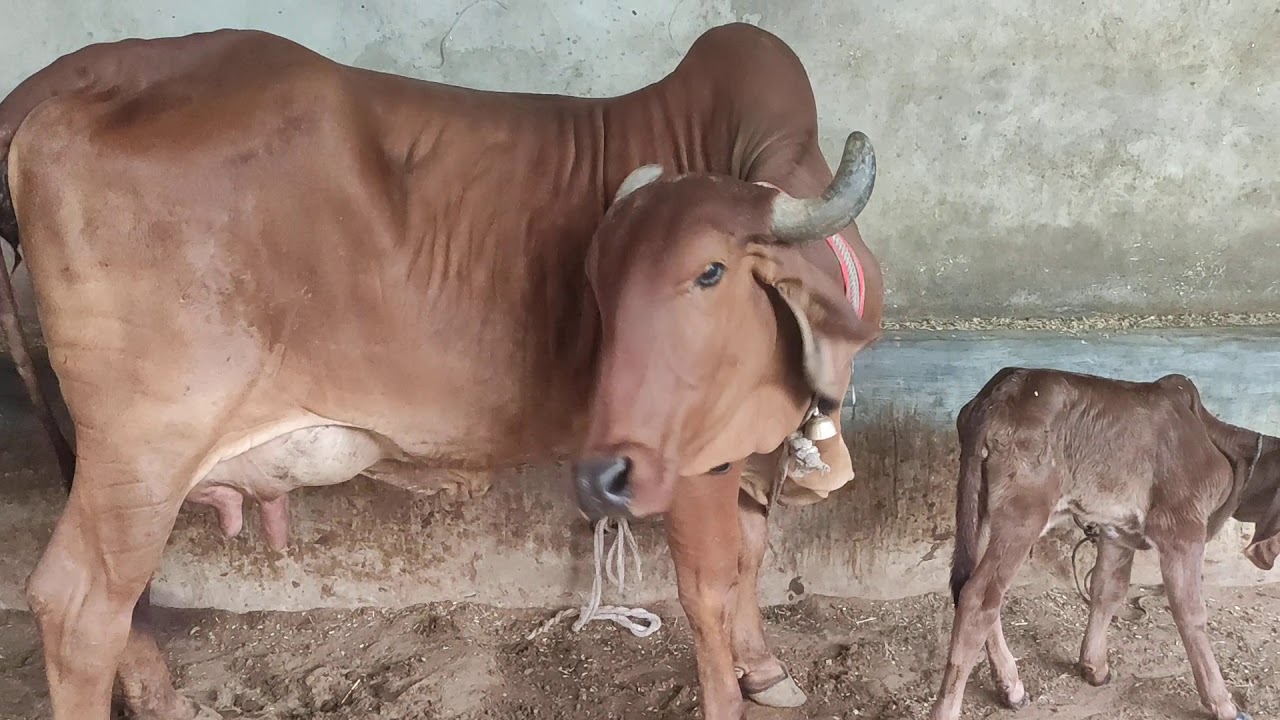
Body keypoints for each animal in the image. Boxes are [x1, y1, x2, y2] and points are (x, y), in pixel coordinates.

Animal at [0, 22, 884, 720]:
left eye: (710, 272)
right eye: (595, 280)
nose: (601, 472)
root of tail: (80, 74)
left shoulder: (749, 448)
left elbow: (753, 555)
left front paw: (764, 669)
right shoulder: (695, 461)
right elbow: (709, 587)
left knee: (124, 604)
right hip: (146, 442)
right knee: (78, 608)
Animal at [930, 367, 1280, 720]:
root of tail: (1001, 391)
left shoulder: (1116, 530)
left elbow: (1107, 589)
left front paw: (1093, 666)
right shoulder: (1182, 528)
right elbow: (1191, 612)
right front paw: (1222, 702)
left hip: (981, 508)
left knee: (975, 590)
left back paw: (1011, 687)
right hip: (1023, 513)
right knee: (979, 598)